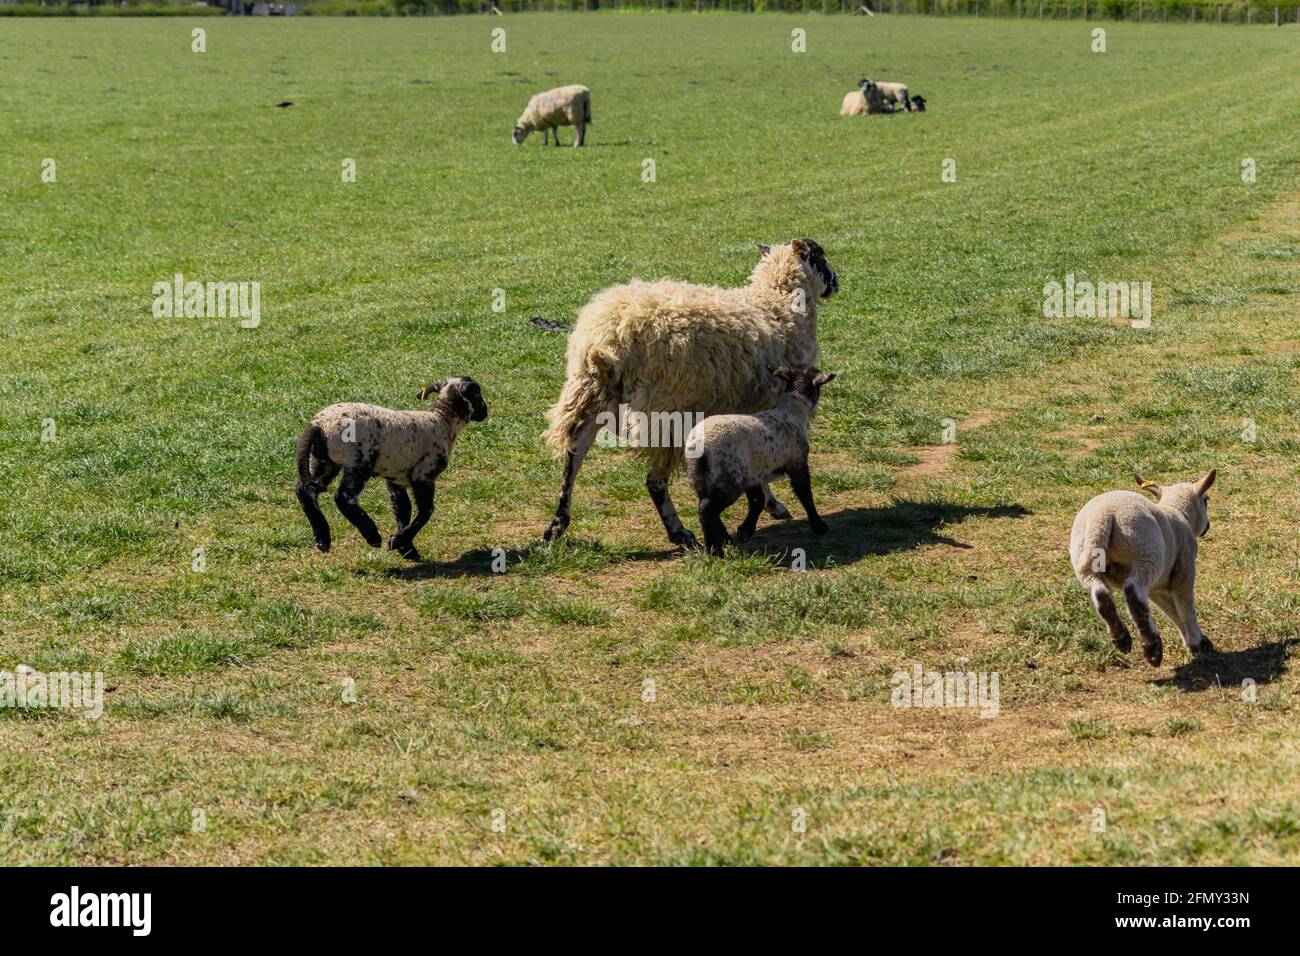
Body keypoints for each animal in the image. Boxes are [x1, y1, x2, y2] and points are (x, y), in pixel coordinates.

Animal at [295, 377, 488, 562]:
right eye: (477, 394)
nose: (486, 412)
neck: (441, 421)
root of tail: (317, 424)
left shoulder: (396, 479)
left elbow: (403, 510)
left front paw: (407, 549)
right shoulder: (424, 475)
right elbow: (426, 511)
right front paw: (397, 541)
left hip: (323, 461)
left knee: (305, 491)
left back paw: (322, 538)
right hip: (359, 460)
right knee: (342, 496)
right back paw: (371, 534)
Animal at [684, 367, 835, 556]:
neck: (792, 411)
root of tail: (698, 443)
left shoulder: (754, 474)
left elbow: (757, 501)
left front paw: (745, 531)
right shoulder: (797, 462)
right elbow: (805, 494)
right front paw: (819, 526)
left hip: (703, 478)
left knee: (704, 506)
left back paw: (722, 541)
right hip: (729, 479)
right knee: (706, 509)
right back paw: (715, 551)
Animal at [1069, 469, 1218, 667]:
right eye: (1206, 500)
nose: (1208, 526)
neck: (1177, 513)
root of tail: (1101, 518)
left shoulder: (1156, 588)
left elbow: (1171, 610)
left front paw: (1194, 640)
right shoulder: (1184, 569)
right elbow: (1185, 606)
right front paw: (1196, 642)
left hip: (1084, 561)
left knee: (1100, 593)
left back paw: (1121, 638)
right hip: (1145, 554)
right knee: (1133, 592)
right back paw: (1152, 648)